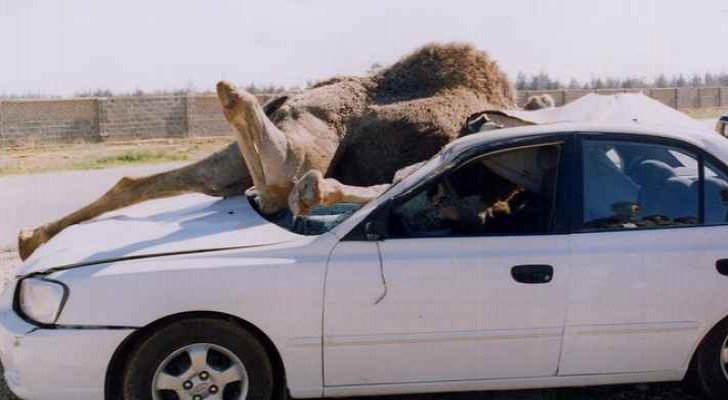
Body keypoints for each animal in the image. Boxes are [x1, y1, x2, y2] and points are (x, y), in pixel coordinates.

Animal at [18, 42, 517, 261]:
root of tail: (287, 99)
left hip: (241, 160)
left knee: (172, 179)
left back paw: (29, 238)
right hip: (319, 125)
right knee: (285, 178)